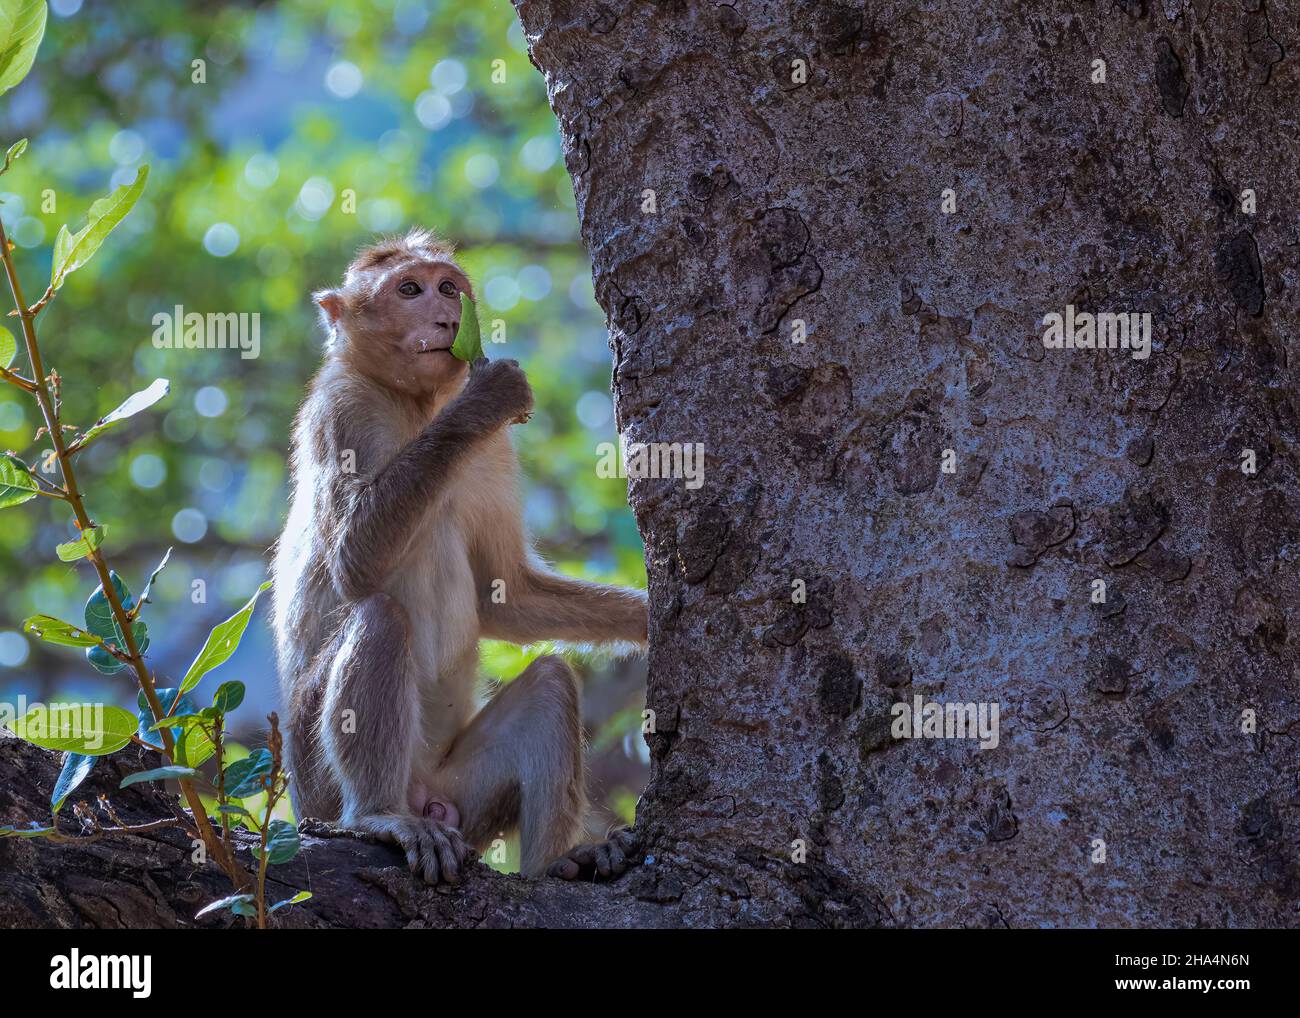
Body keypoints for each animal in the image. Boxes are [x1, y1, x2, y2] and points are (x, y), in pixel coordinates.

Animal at [270, 228, 647, 884]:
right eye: (409, 290)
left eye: (447, 287)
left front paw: (650, 620)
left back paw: (560, 863)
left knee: (551, 684)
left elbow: (505, 595)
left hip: (462, 796)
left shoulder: (496, 452)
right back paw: (379, 816)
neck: (419, 406)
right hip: (316, 785)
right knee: (380, 616)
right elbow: (353, 563)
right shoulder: (340, 410)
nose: (447, 317)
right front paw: (482, 397)